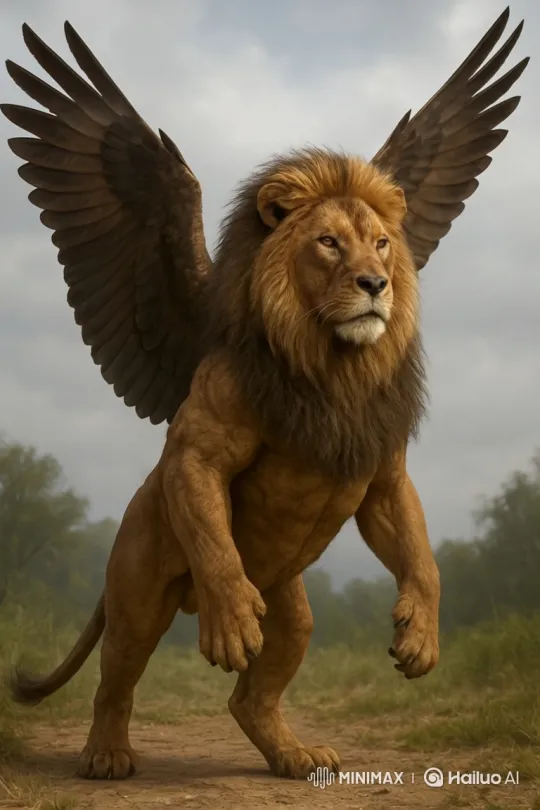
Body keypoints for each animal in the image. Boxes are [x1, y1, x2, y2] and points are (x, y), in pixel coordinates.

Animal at [1, 9, 527, 781]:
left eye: (381, 243)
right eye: (330, 244)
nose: (377, 284)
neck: (335, 366)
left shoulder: (383, 474)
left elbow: (421, 557)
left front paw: (421, 636)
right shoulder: (203, 446)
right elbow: (211, 515)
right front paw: (229, 626)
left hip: (289, 598)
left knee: (253, 690)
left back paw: (293, 753)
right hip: (138, 589)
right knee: (117, 676)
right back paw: (106, 754)